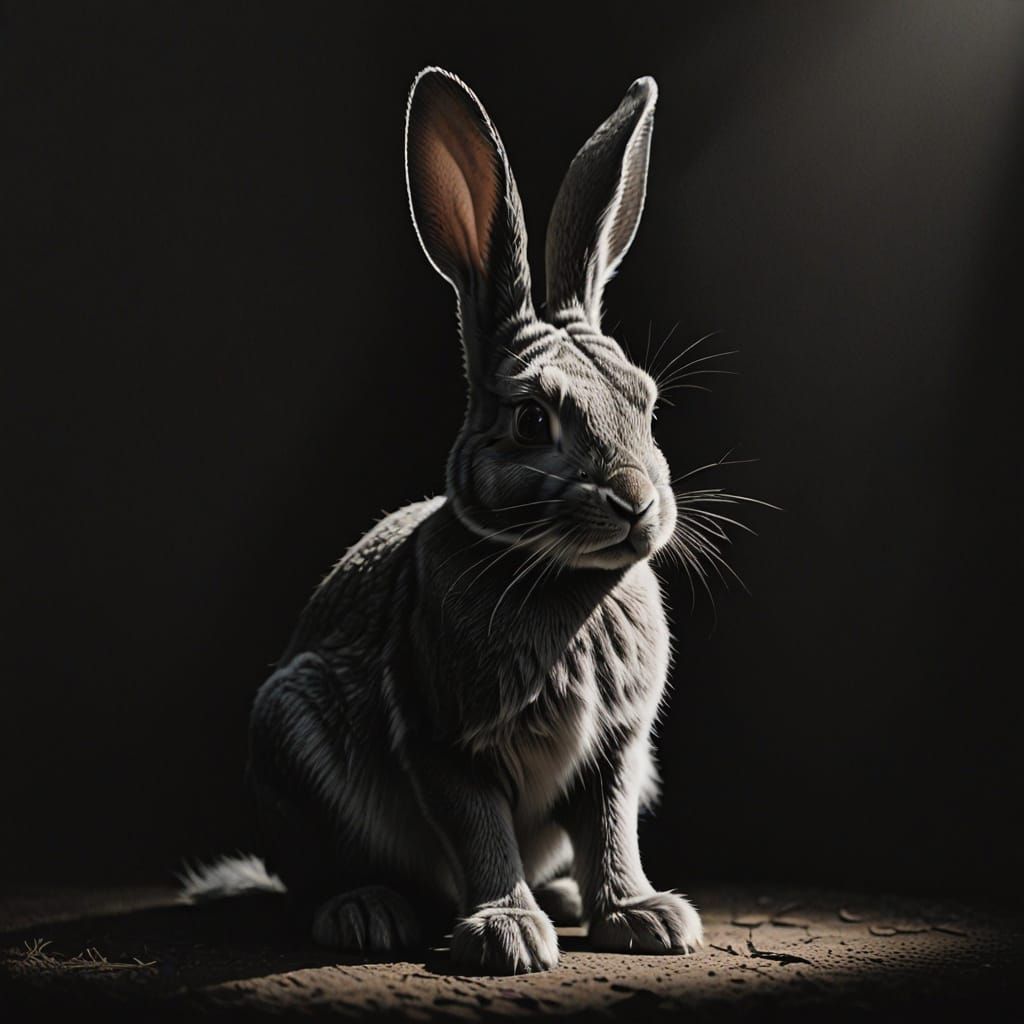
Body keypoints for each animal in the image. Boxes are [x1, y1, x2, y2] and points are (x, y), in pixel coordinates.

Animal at [181, 66, 705, 975]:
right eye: (532, 421)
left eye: (645, 403)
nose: (638, 502)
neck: (562, 581)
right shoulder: (446, 743)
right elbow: (483, 833)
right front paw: (507, 935)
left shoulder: (618, 752)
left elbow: (611, 834)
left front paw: (644, 917)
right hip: (290, 741)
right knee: (315, 886)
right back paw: (367, 912)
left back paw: (564, 900)